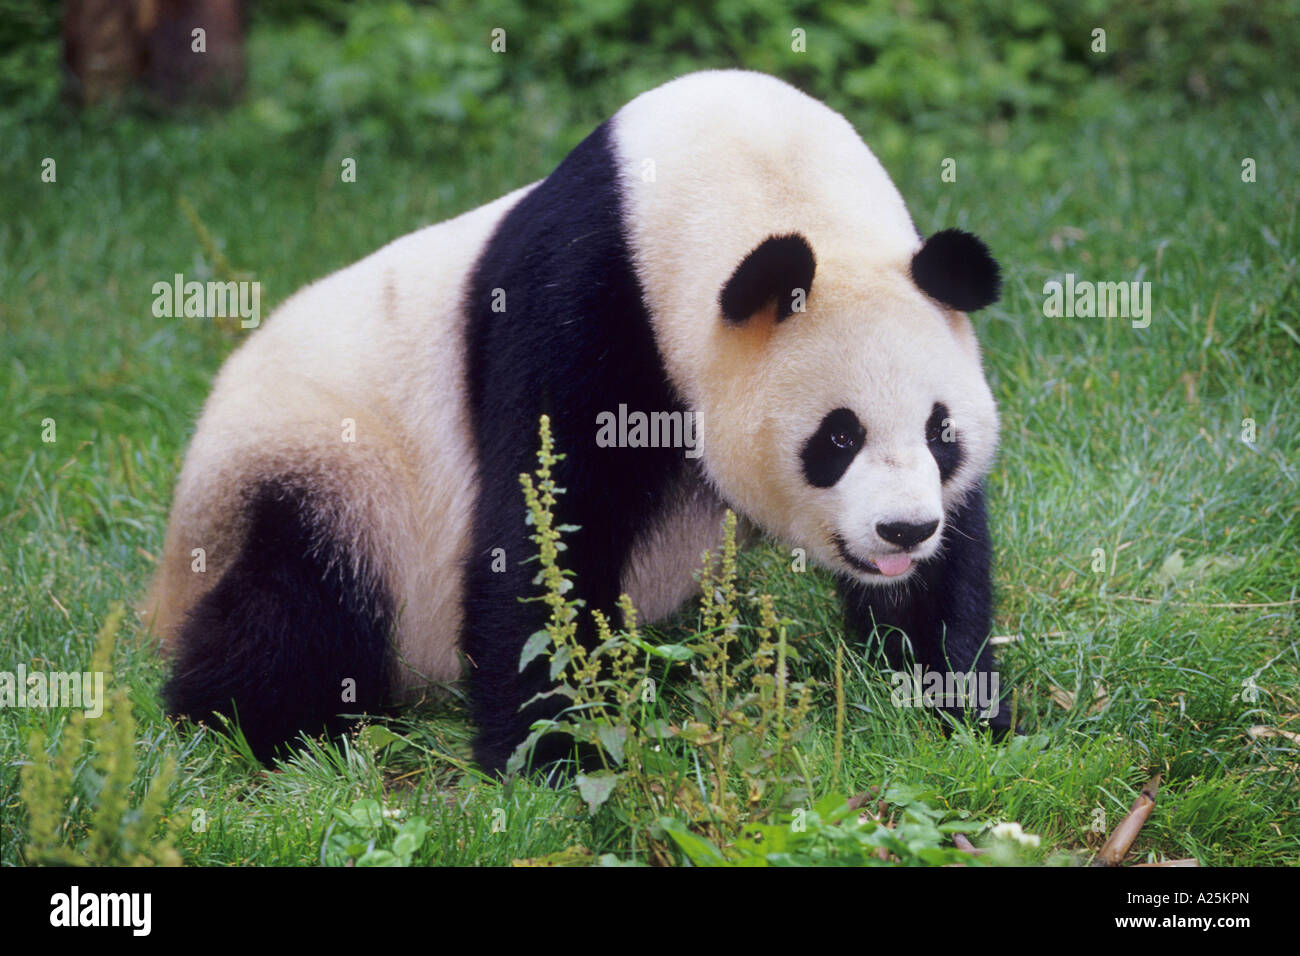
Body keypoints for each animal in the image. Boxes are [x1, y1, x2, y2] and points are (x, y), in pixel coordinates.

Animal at [145, 69, 1009, 774]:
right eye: (837, 437)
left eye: (941, 433)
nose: (903, 531)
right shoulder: (584, 299)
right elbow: (548, 520)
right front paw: (553, 755)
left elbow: (945, 576)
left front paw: (957, 709)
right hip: (323, 467)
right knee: (293, 603)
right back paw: (270, 725)